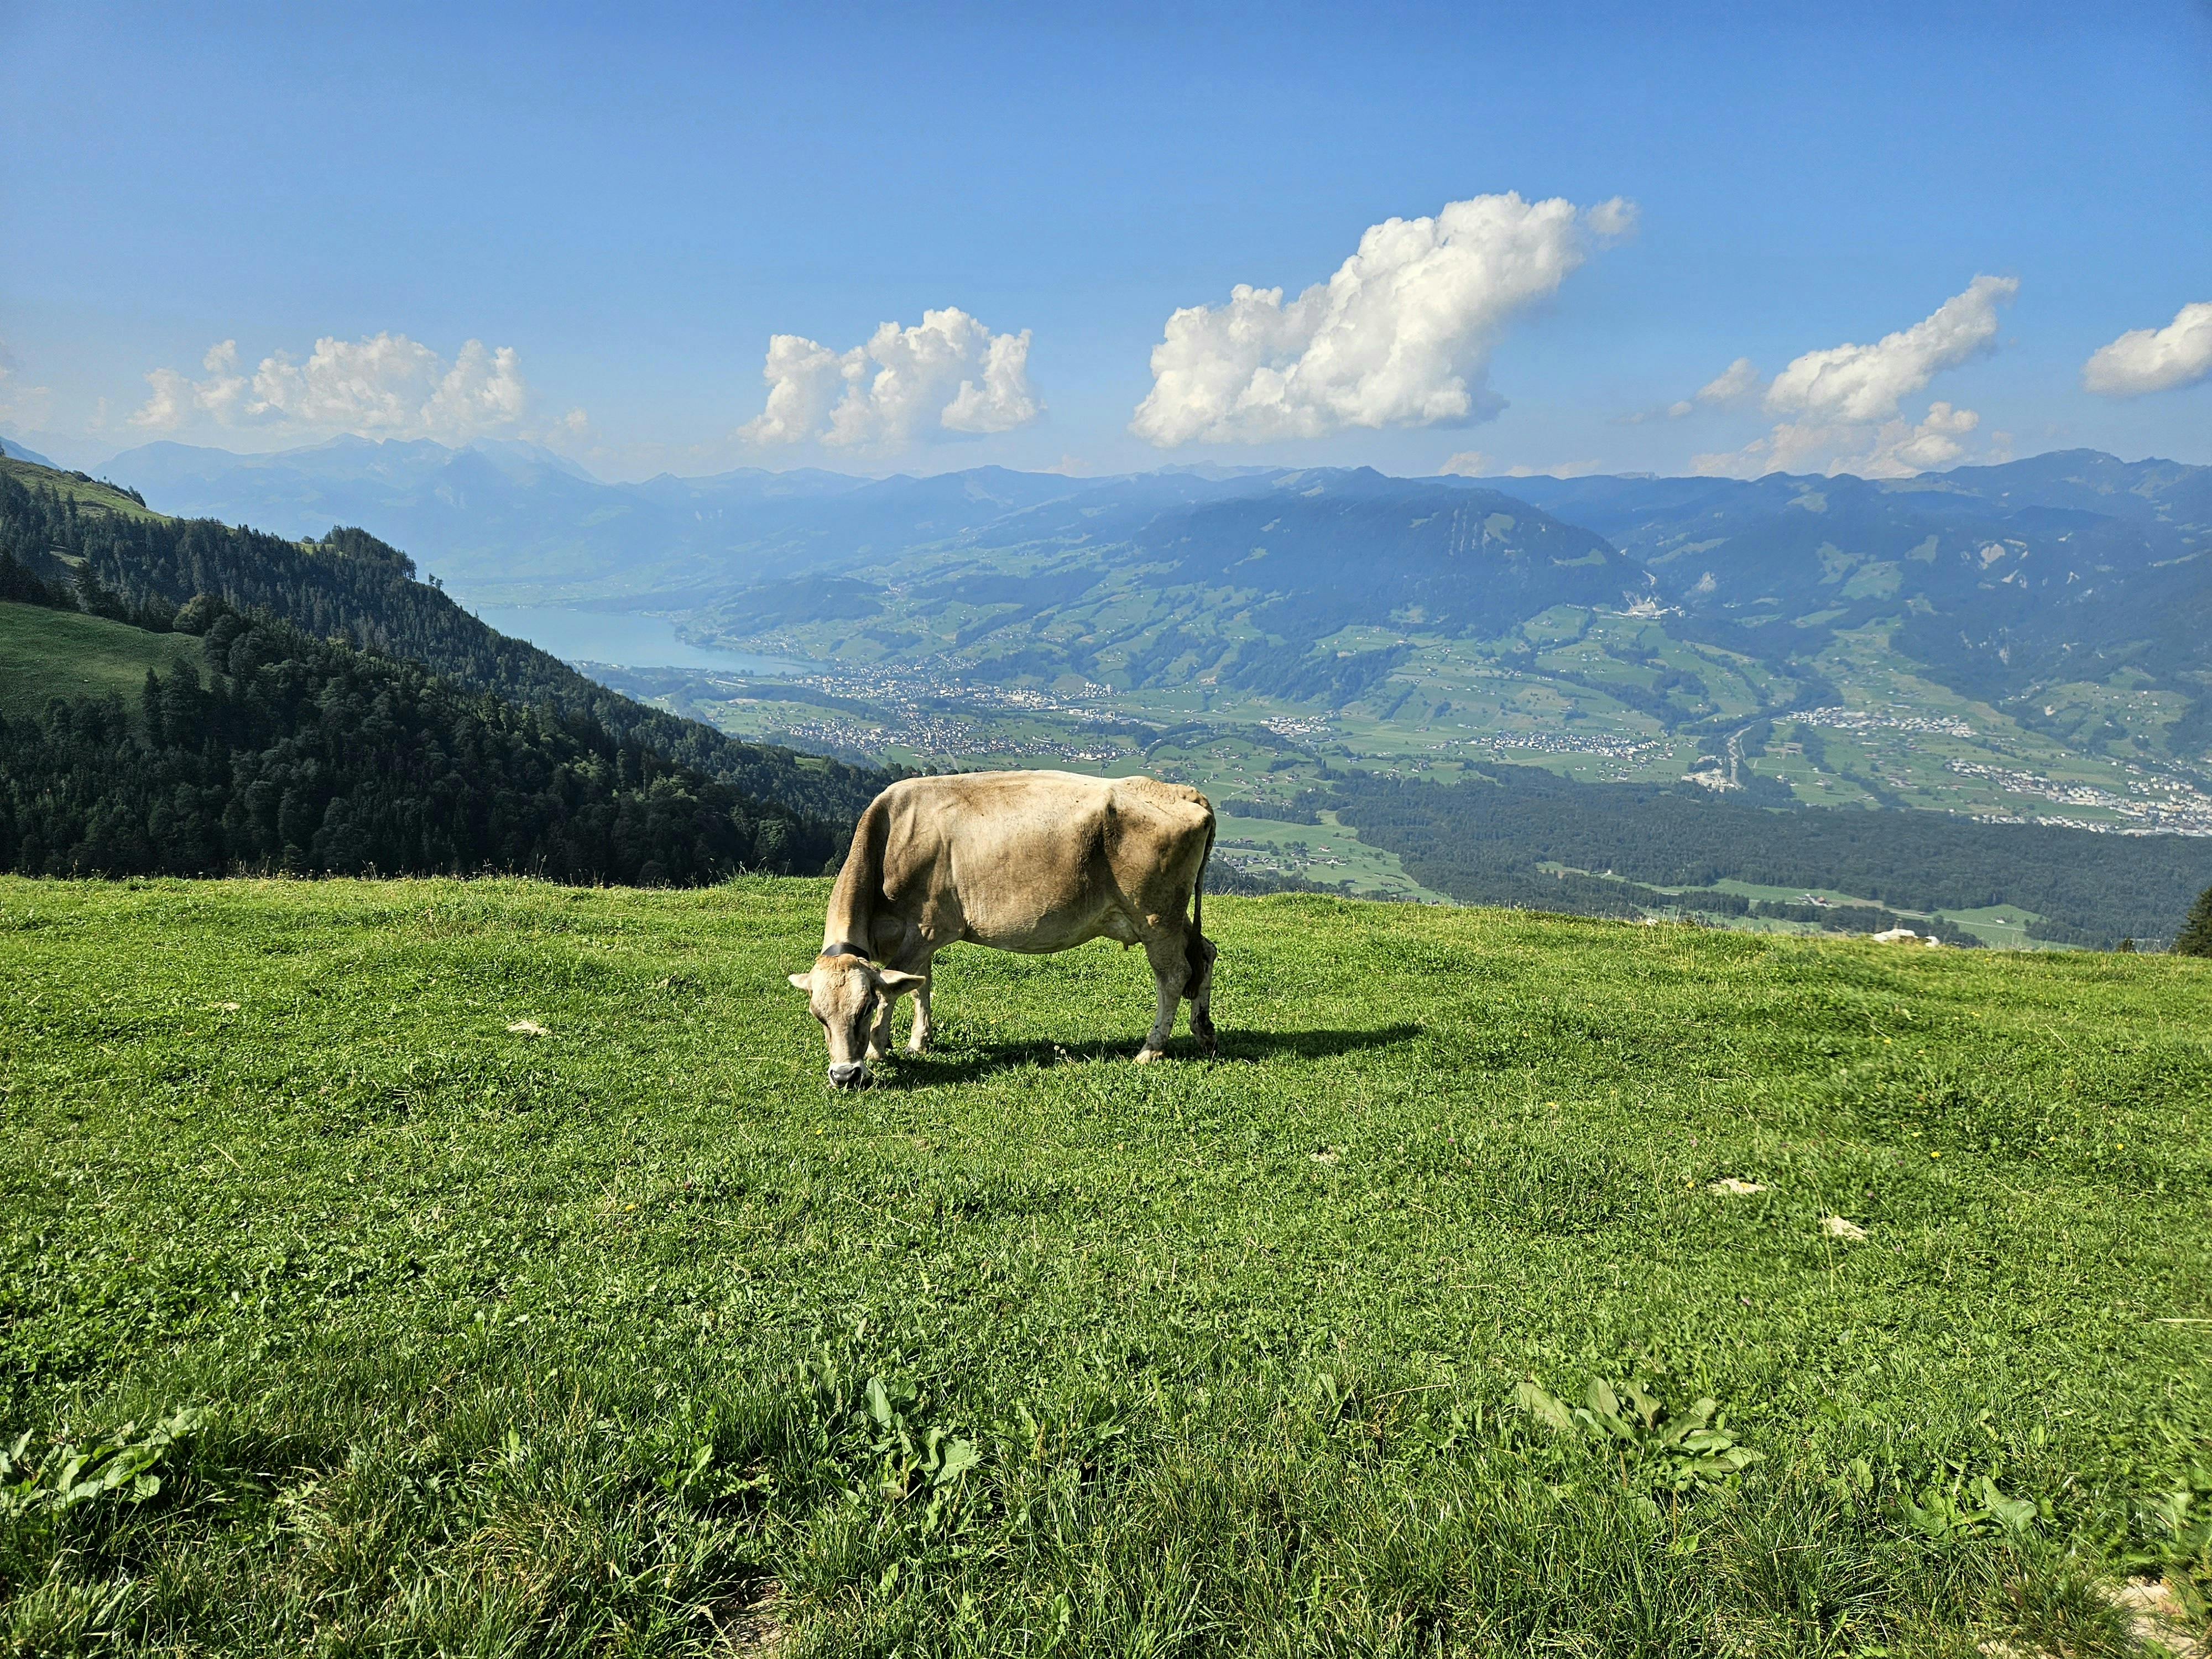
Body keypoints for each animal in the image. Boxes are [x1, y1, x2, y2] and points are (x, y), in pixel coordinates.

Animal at [789, 770, 1218, 1088]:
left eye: (862, 1009)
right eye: (817, 1016)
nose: (844, 1076)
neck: (891, 839)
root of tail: (1182, 791)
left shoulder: (927, 929)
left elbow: (897, 988)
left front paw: (878, 1047)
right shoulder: (916, 937)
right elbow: (918, 985)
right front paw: (919, 1042)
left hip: (1155, 916)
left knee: (1174, 974)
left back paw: (1151, 1049)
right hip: (1168, 915)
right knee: (1206, 952)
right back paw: (1204, 1031)